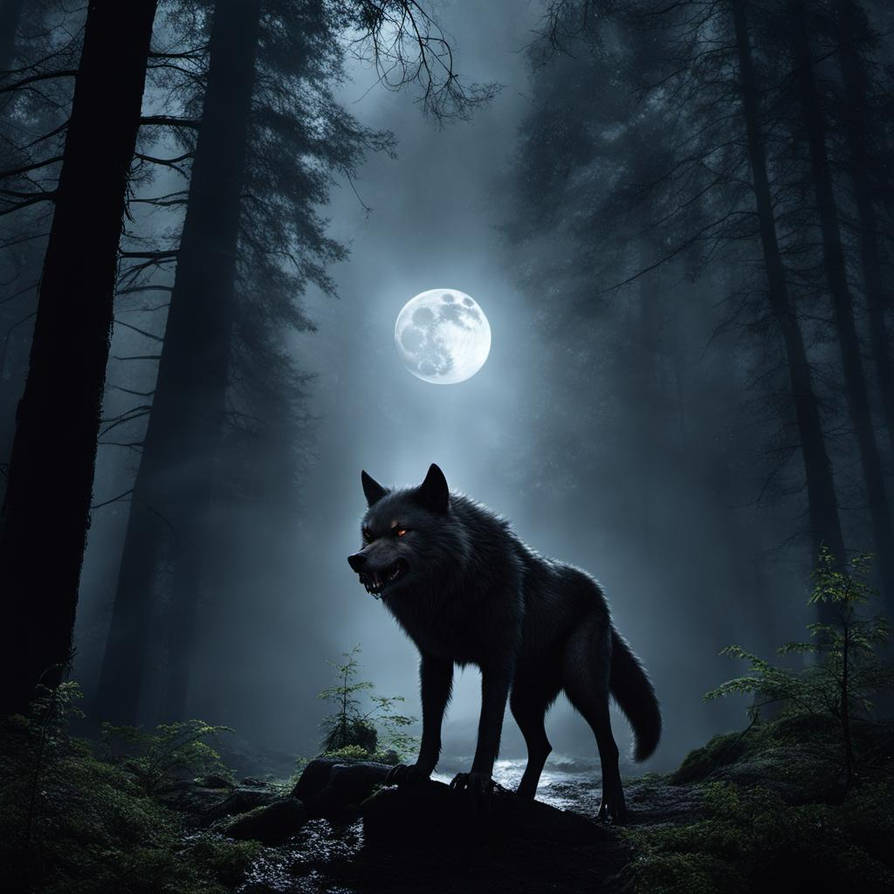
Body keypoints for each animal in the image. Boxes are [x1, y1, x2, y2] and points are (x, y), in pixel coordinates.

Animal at [347, 463, 660, 821]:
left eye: (400, 531)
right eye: (368, 534)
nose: (356, 559)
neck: (452, 589)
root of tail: (601, 597)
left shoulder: (496, 665)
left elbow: (488, 729)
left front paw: (478, 781)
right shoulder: (435, 664)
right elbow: (431, 728)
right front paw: (419, 772)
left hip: (582, 687)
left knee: (609, 746)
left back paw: (613, 806)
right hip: (523, 701)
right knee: (542, 746)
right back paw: (521, 798)